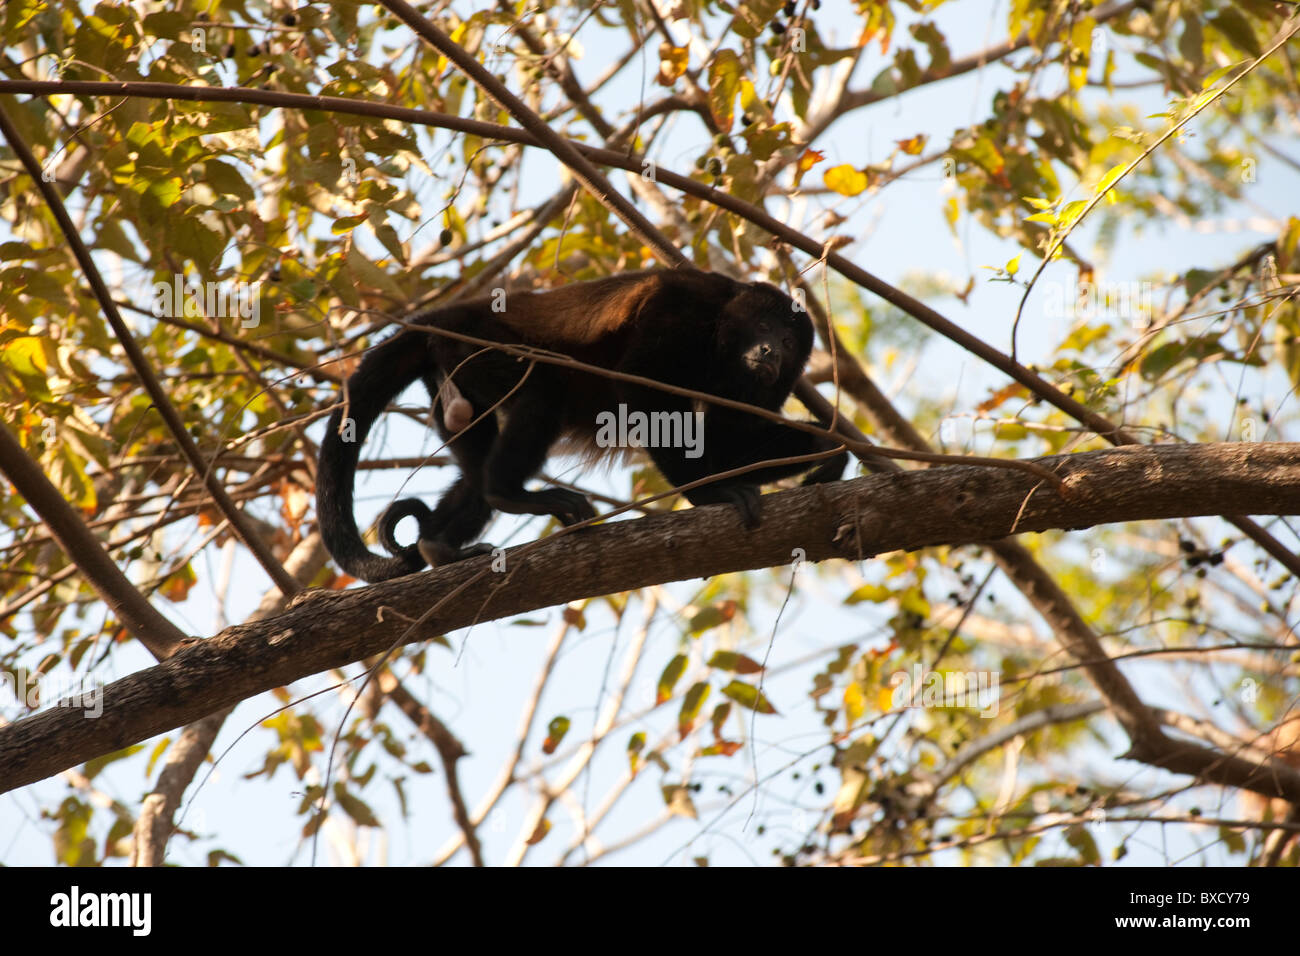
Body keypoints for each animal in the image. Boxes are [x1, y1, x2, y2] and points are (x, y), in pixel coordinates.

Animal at [316, 268, 848, 583]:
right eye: (763, 327)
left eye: (788, 341)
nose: (770, 351)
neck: (722, 329)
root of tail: (441, 317)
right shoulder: (681, 310)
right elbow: (643, 395)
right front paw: (712, 493)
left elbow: (730, 442)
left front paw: (832, 453)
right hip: (477, 343)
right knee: (541, 394)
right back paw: (512, 494)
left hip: (450, 375)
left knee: (473, 465)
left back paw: (440, 544)